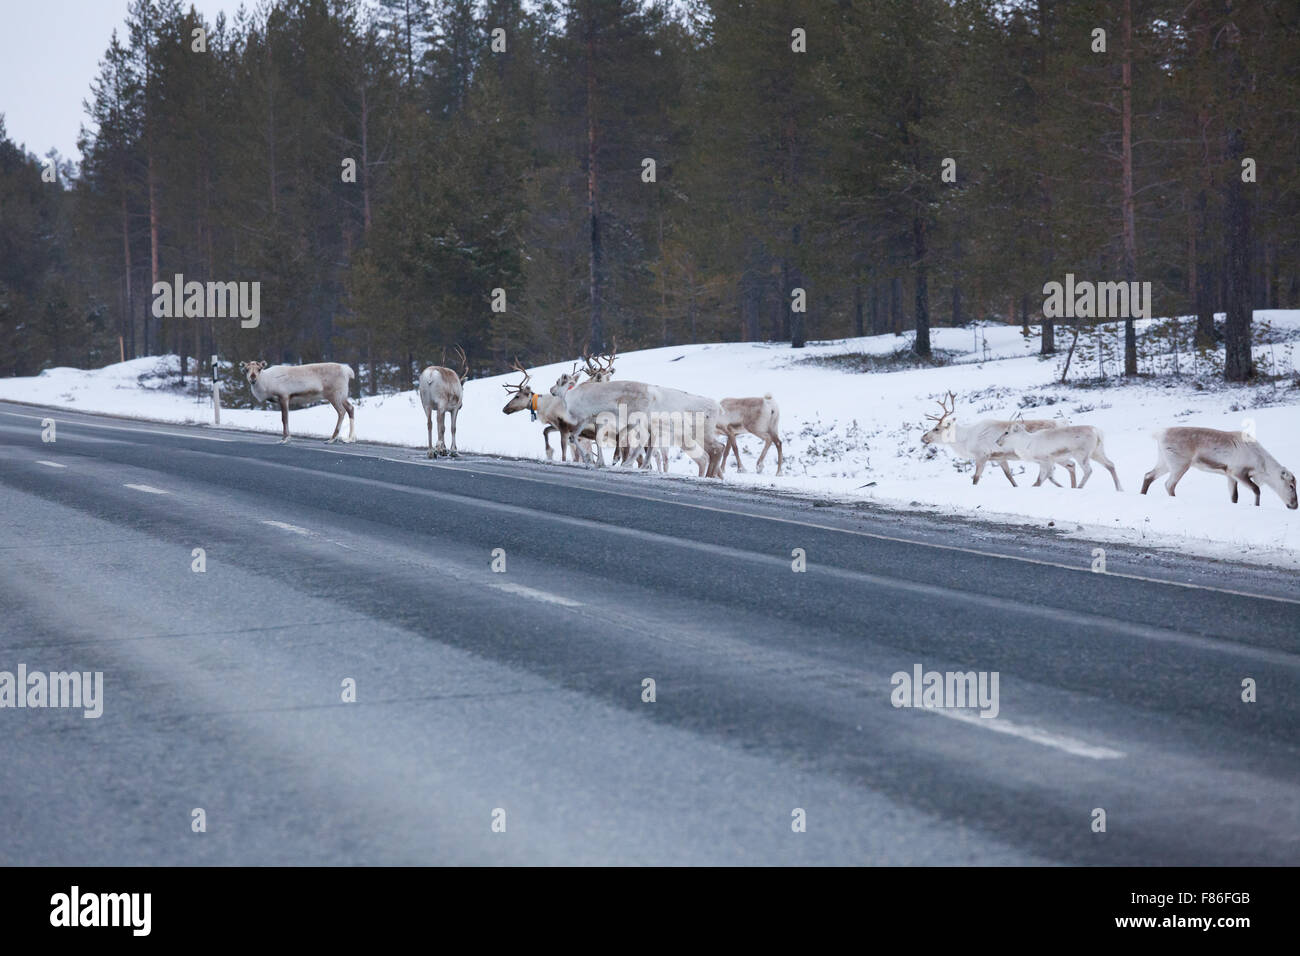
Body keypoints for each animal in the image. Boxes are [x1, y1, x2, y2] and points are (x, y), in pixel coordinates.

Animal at [920, 392, 1074, 487]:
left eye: (936, 428)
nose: (923, 437)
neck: (964, 440)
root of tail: (1063, 423)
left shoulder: (982, 455)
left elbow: (975, 478)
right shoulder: (1000, 458)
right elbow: (1010, 477)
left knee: (1062, 469)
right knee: (1062, 470)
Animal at [1140, 427, 1297, 508]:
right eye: (1291, 485)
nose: (1295, 505)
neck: (1261, 466)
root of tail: (1159, 434)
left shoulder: (1230, 475)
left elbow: (1234, 496)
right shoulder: (1237, 471)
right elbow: (1256, 489)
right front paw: (1256, 506)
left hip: (1165, 462)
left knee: (1148, 475)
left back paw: (1142, 494)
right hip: (1179, 464)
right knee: (1169, 484)